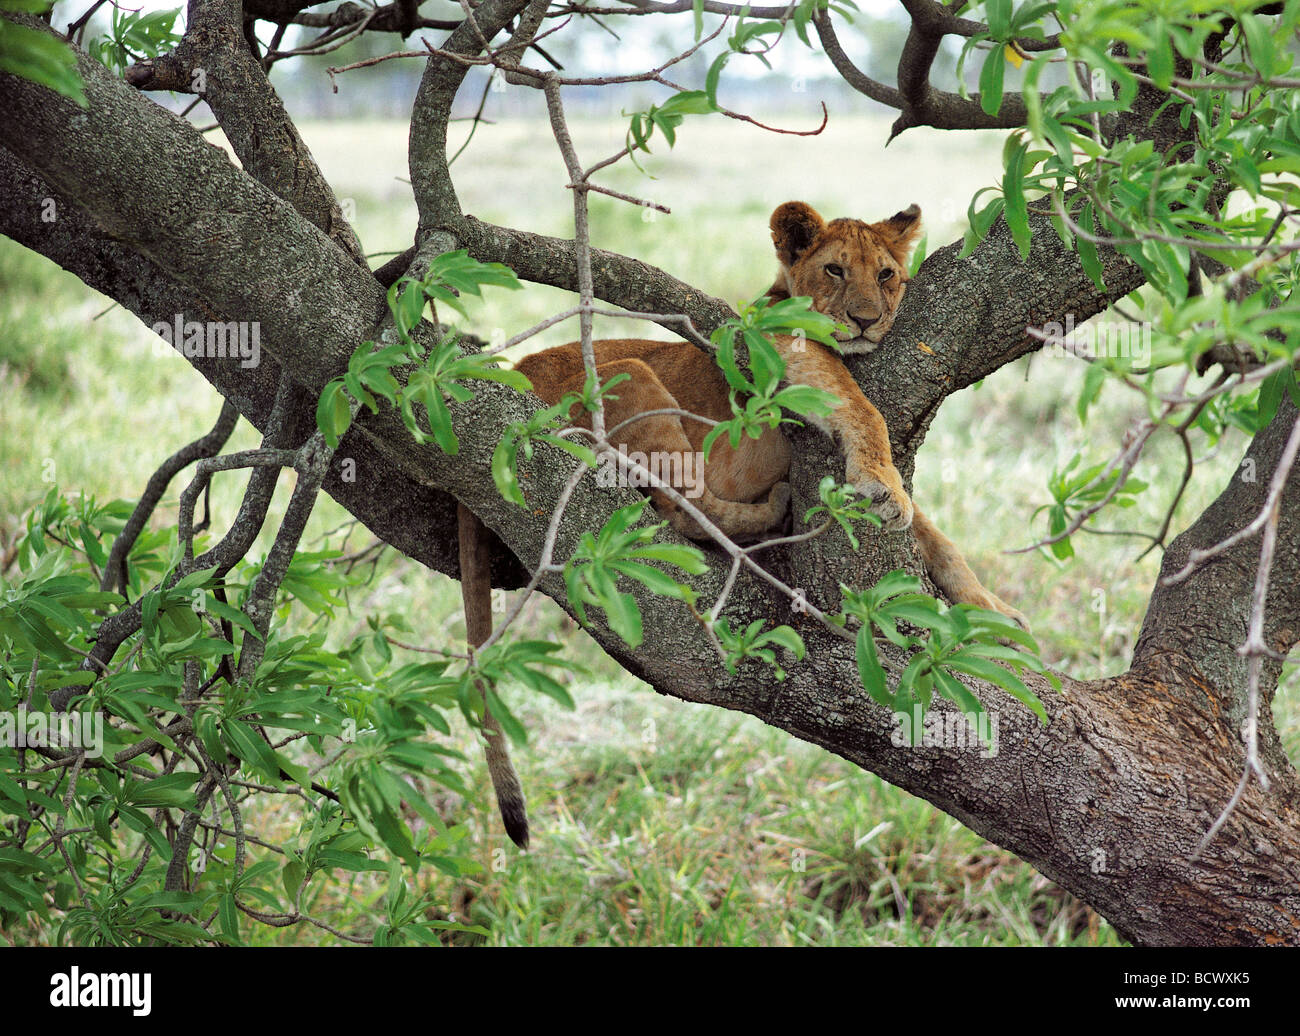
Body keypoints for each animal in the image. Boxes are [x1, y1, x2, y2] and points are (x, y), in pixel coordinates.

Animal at [465, 200, 1025, 847]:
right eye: (835, 271)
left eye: (887, 275)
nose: (865, 321)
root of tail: (514, 372)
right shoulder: (782, 342)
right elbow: (861, 407)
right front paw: (881, 480)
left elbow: (937, 539)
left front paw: (994, 613)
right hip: (630, 374)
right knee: (680, 506)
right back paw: (771, 515)